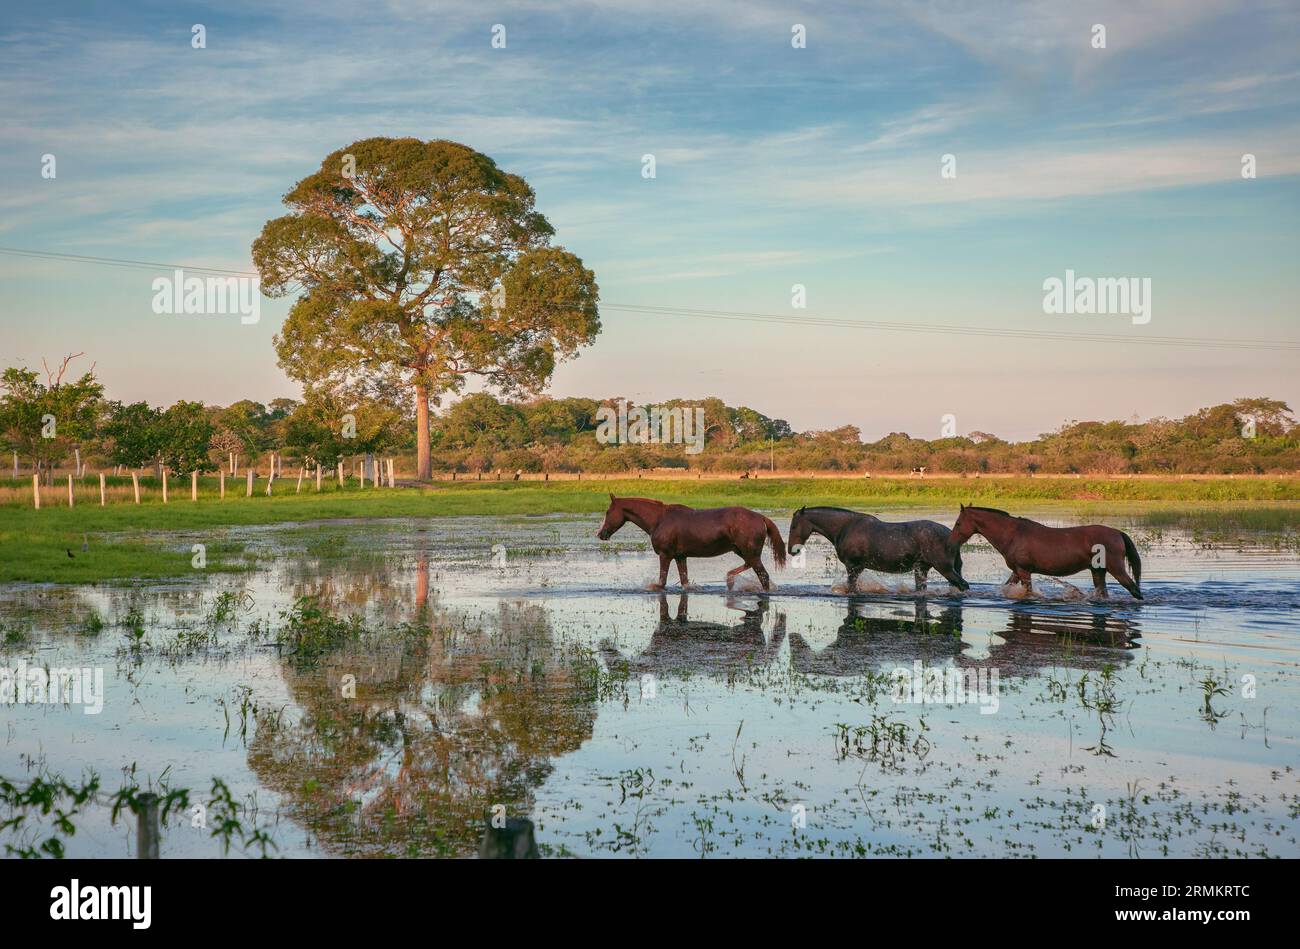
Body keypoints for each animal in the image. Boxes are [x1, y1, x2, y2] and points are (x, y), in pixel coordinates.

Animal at [596, 495, 786, 590]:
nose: (601, 534)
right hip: (741, 551)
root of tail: (760, 517)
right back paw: (730, 578)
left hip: (750, 553)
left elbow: (661, 583)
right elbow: (685, 582)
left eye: (608, 512)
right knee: (749, 566)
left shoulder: (665, 555)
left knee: (763, 576)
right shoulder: (681, 557)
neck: (659, 520)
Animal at [787, 506, 970, 592]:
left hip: (945, 568)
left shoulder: (852, 567)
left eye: (794, 526)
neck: (845, 527)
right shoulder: (857, 568)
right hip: (922, 568)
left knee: (963, 585)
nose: (791, 550)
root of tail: (951, 535)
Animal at [950, 504, 1143, 599]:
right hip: (1098, 571)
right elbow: (1007, 586)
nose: (952, 542)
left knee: (1134, 589)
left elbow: (1028, 592)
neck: (1013, 534)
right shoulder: (1016, 571)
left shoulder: (1024, 571)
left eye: (958, 523)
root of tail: (1117, 532)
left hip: (1116, 569)